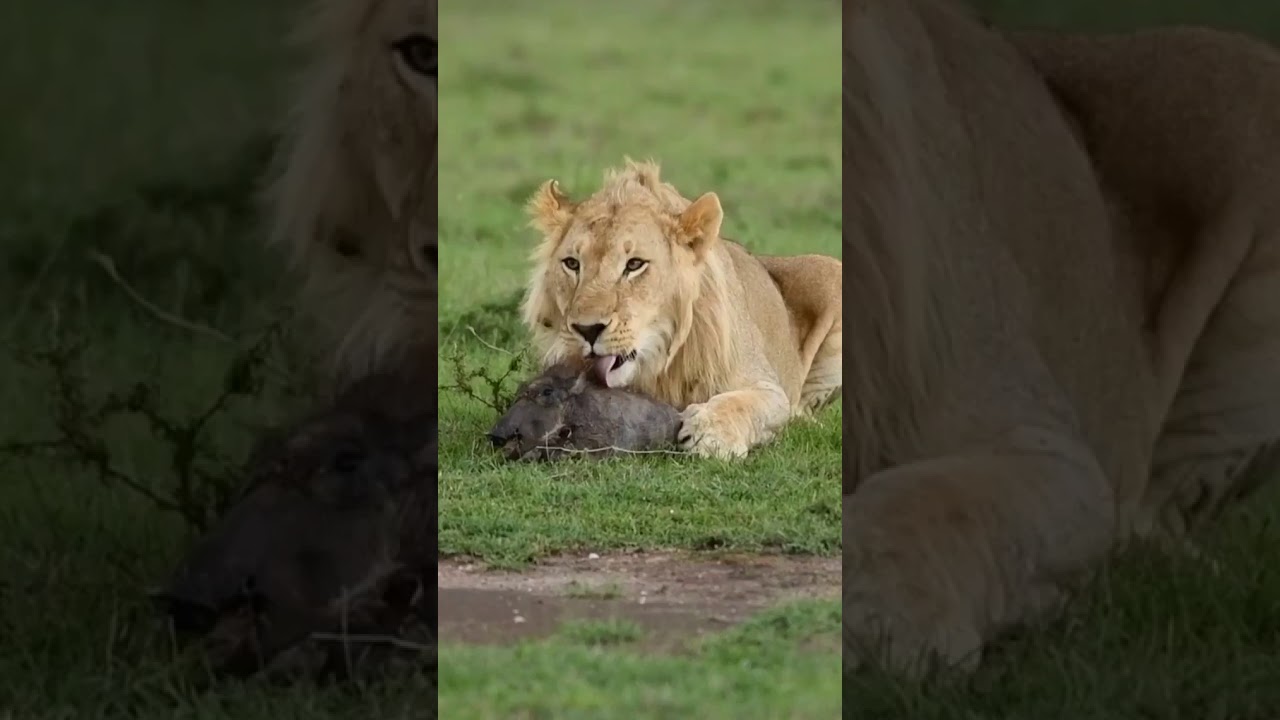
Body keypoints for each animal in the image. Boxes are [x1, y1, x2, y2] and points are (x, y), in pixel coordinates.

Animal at [519, 159, 842, 460]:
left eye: (634, 264)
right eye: (572, 264)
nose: (587, 330)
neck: (657, 365)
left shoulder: (767, 385)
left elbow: (750, 404)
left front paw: (709, 433)